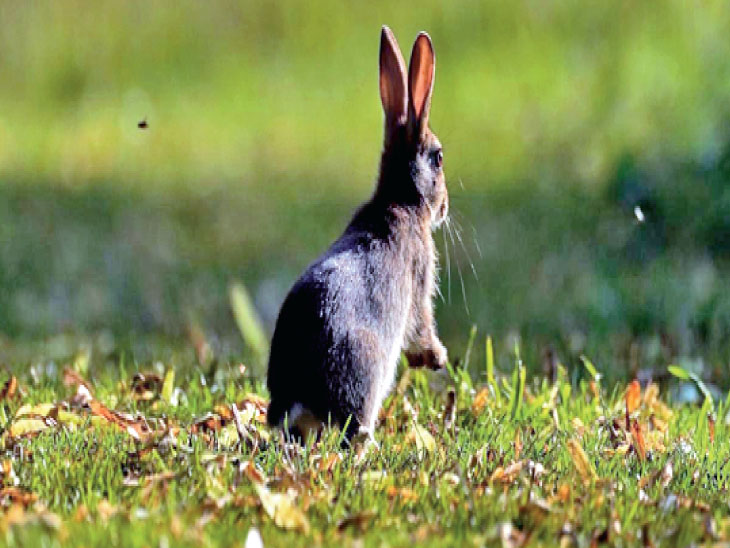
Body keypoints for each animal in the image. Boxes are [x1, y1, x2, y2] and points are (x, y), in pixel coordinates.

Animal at [266, 26, 449, 443]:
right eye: (439, 157)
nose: (445, 208)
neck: (401, 199)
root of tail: (295, 394)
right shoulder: (419, 278)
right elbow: (421, 323)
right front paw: (435, 358)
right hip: (364, 375)